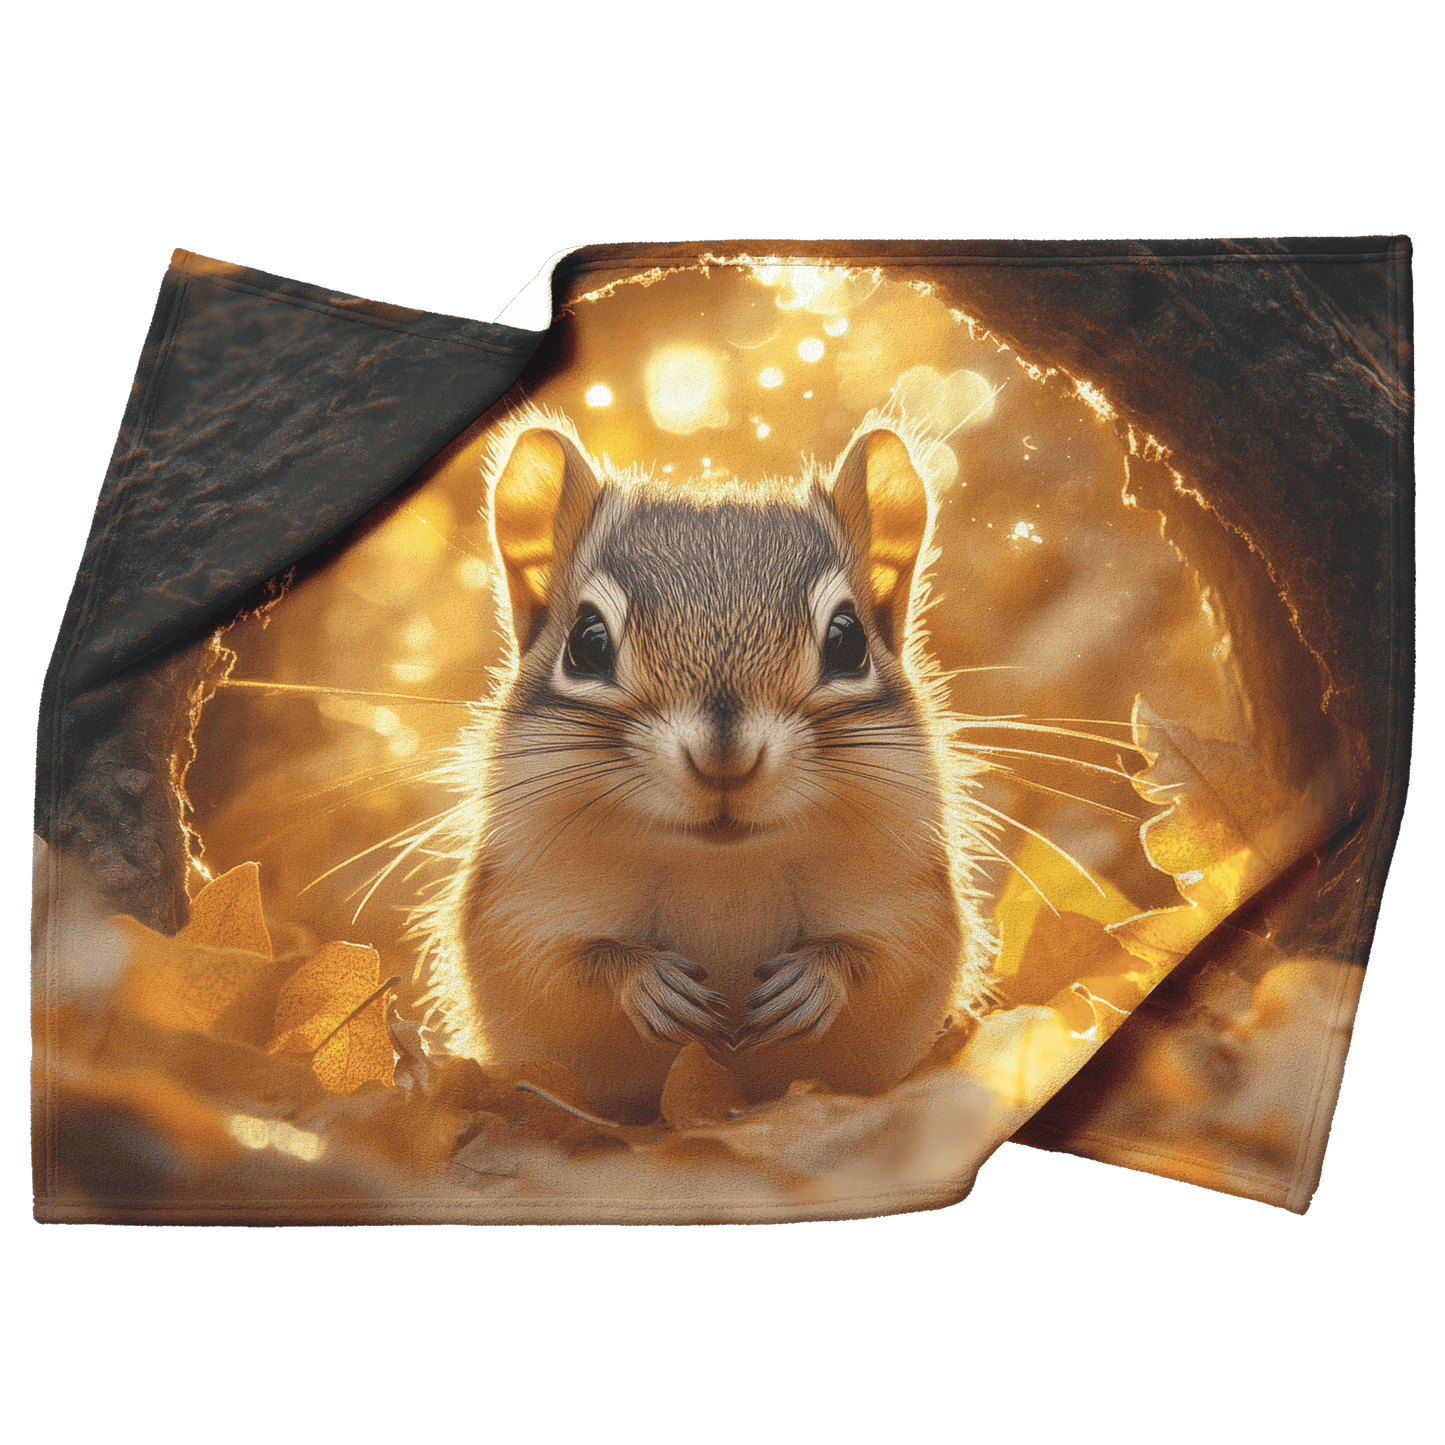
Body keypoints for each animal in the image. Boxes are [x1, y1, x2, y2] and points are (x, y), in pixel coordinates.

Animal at [414, 413, 997, 1121]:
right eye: (587, 643)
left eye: (848, 640)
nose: (725, 758)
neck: (722, 867)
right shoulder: (518, 907)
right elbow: (552, 966)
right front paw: (647, 981)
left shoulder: (908, 896)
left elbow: (893, 958)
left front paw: (816, 980)